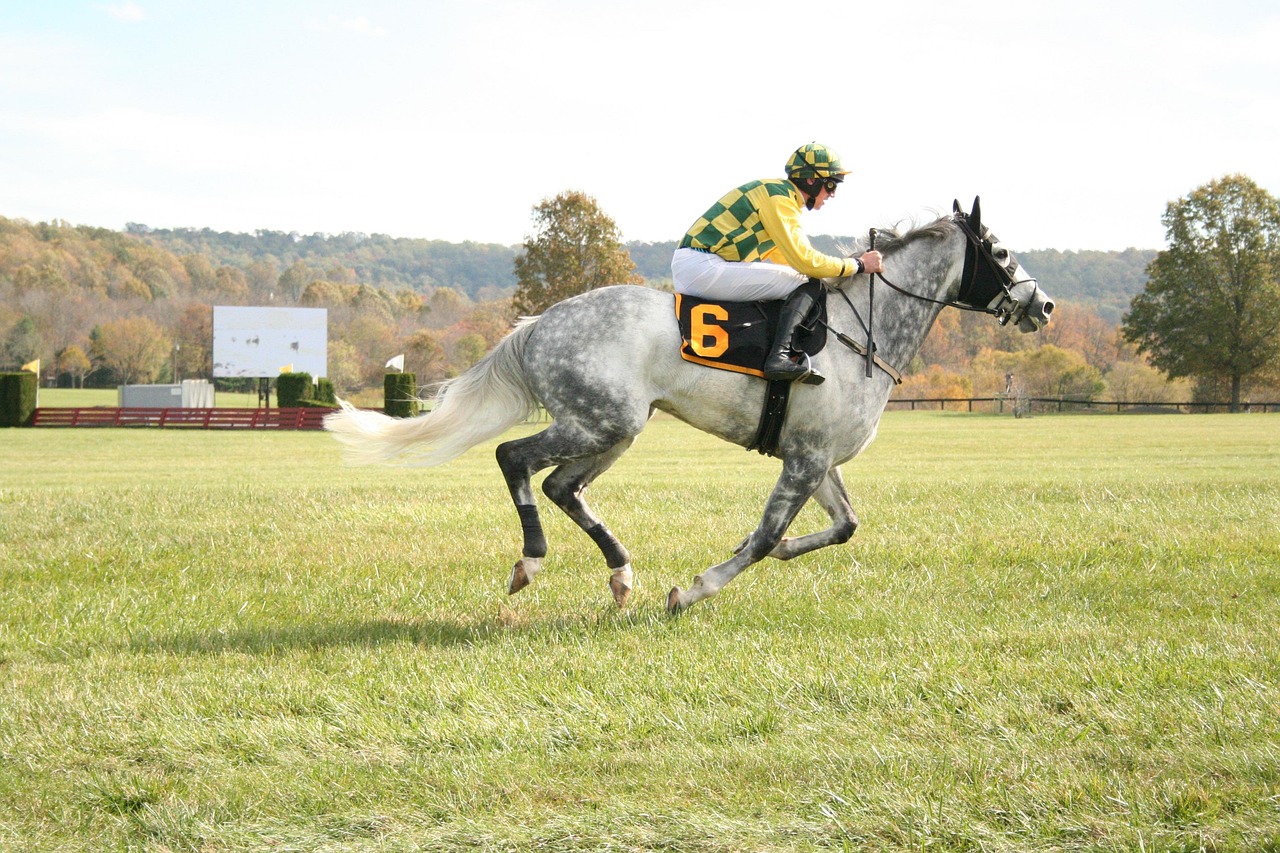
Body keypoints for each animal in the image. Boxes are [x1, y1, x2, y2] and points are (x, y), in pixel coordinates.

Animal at [324, 198, 1055, 612]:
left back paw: (621, 574)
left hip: (613, 429)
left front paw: (777, 554)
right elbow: (763, 538)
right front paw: (695, 587)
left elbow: (843, 526)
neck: (862, 328)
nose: (1043, 304)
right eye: (1000, 250)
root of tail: (538, 322)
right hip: (601, 421)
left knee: (562, 486)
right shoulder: (805, 460)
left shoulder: (816, 457)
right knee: (514, 458)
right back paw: (531, 560)